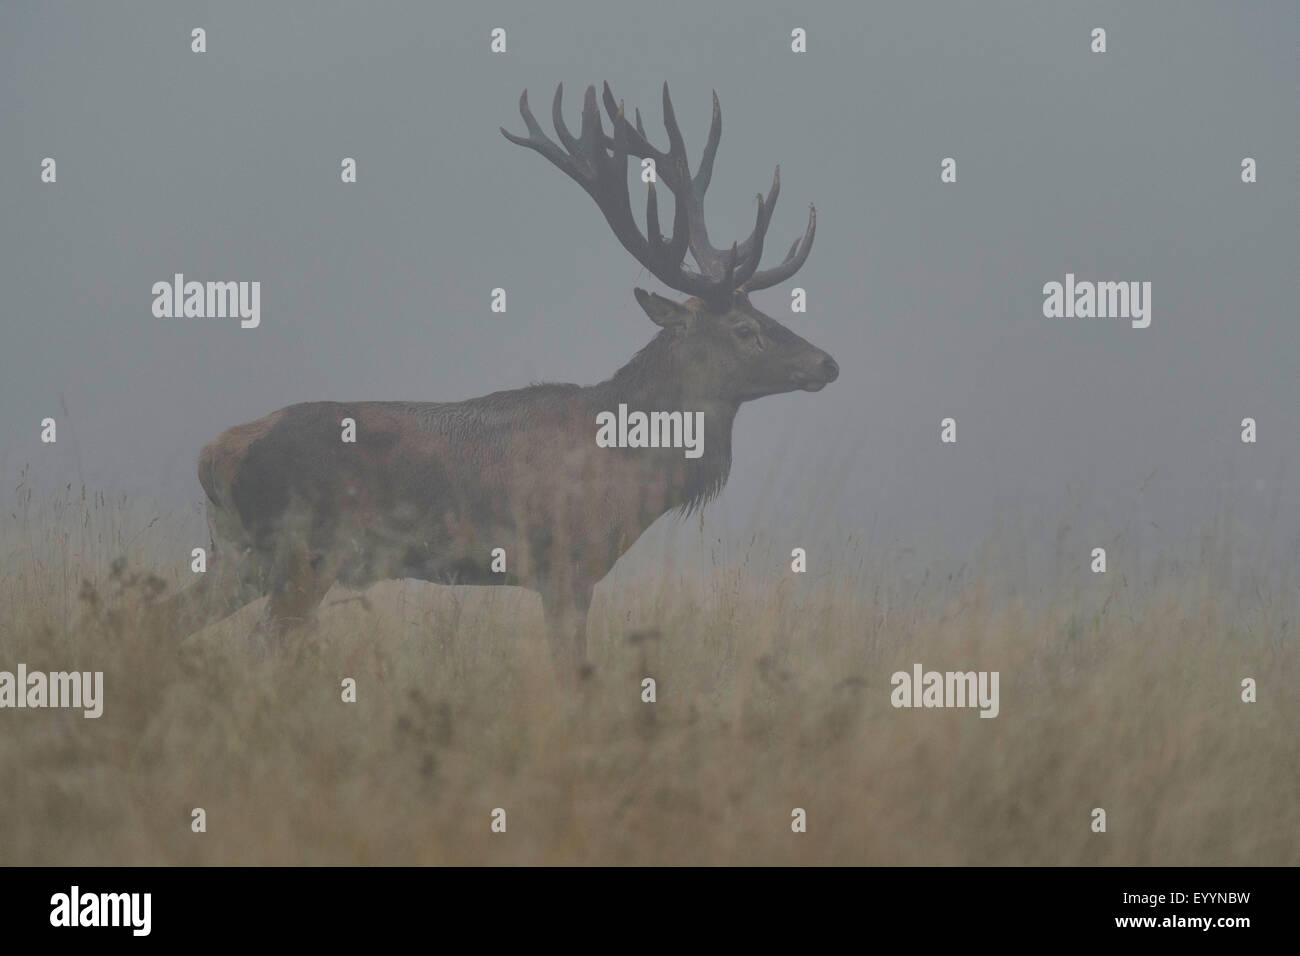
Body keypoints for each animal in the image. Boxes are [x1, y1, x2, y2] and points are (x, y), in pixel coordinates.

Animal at [154, 82, 838, 679]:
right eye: (745, 330)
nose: (827, 364)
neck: (628, 462)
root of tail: (212, 456)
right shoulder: (566, 564)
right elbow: (570, 674)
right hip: (301, 555)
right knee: (260, 643)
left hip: (238, 555)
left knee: (160, 615)